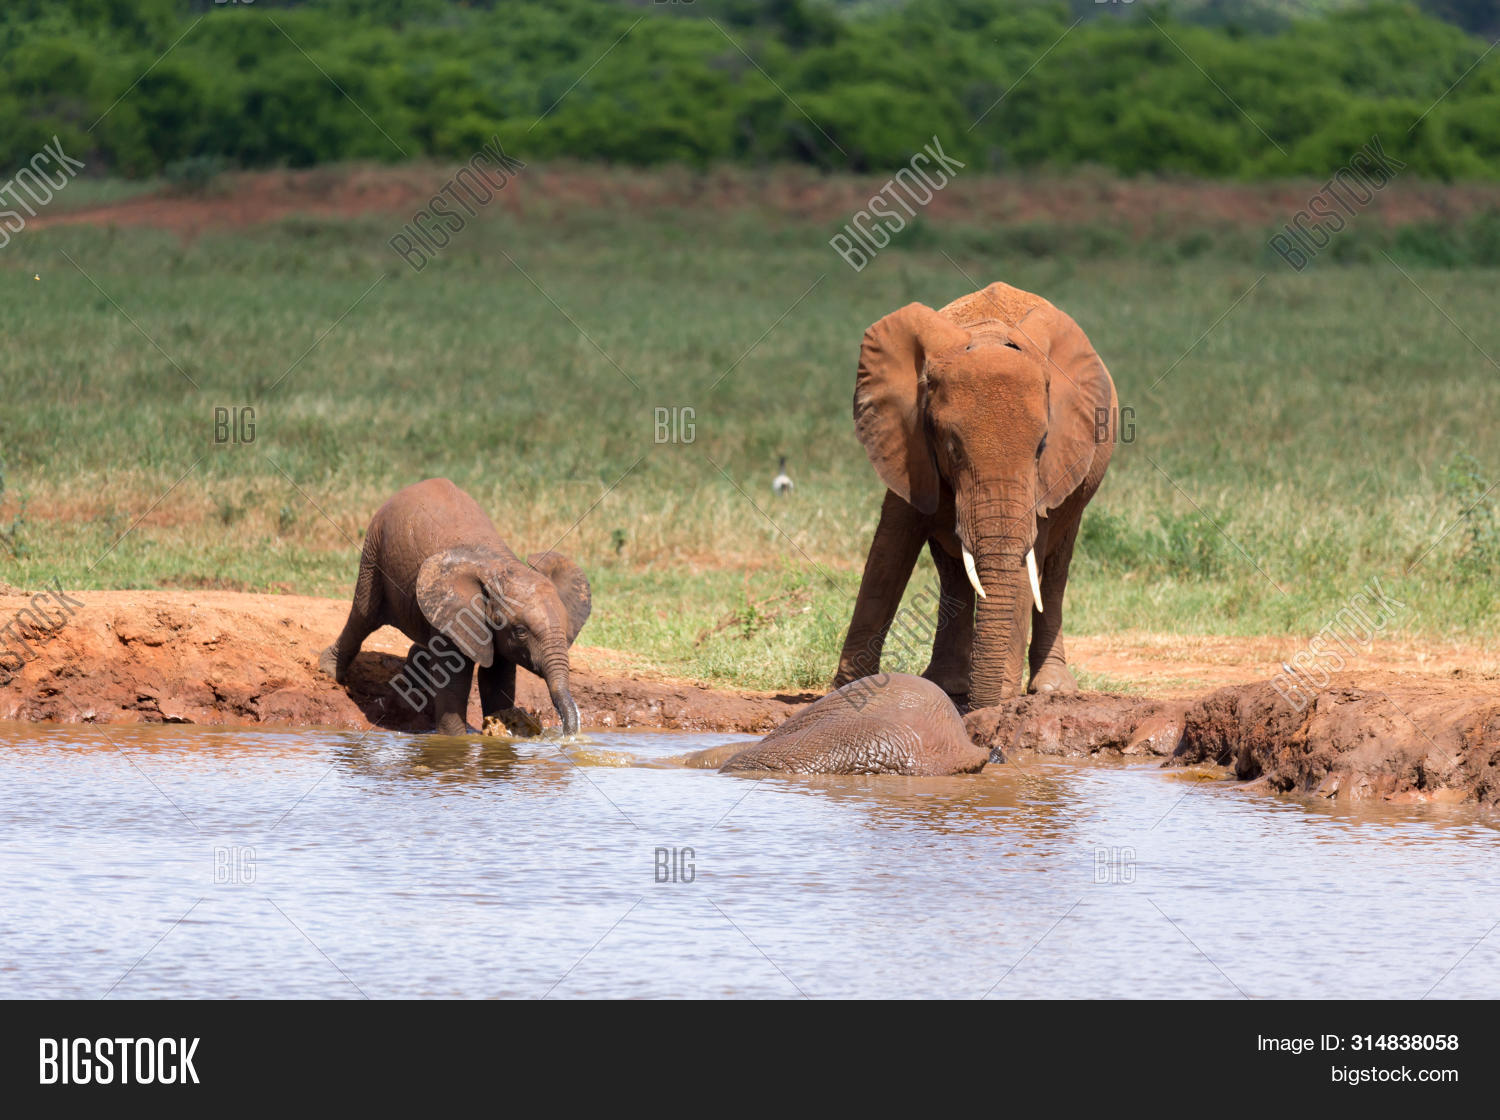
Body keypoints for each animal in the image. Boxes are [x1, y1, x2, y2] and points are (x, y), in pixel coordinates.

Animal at [319, 478, 592, 736]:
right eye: (521, 632)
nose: (566, 734)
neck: (502, 566)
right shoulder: (458, 615)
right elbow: (454, 681)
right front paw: (457, 739)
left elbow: (498, 679)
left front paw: (498, 728)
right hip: (374, 548)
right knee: (364, 616)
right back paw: (328, 671)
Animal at [832, 281, 1116, 710]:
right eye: (952, 449)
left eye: (1041, 446)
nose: (982, 710)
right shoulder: (909, 443)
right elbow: (888, 553)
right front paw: (844, 694)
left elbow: (1027, 562)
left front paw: (1000, 703)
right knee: (953, 573)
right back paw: (948, 684)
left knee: (1054, 571)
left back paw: (1050, 689)